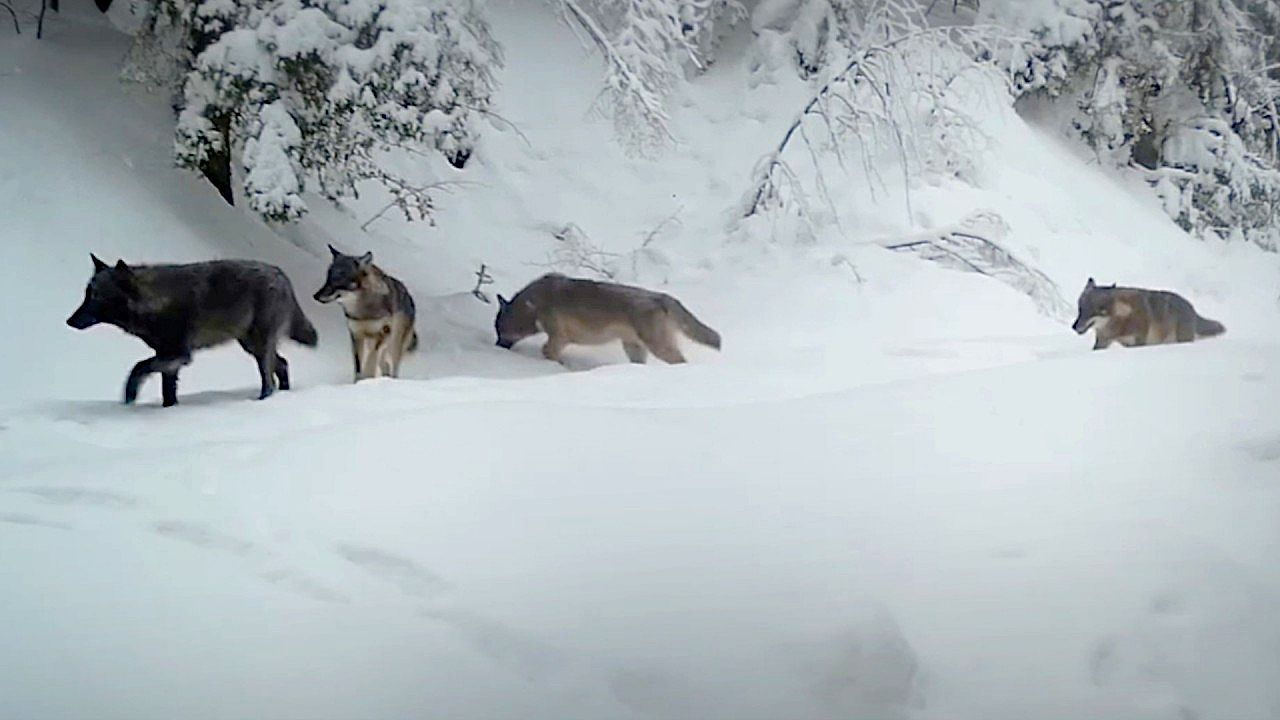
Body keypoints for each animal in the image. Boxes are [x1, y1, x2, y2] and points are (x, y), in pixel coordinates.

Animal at [66, 255, 318, 407]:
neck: (154, 302)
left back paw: (264, 399)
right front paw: (169, 409)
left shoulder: (178, 355)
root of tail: (282, 275)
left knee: (269, 377)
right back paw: (285, 393)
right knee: (282, 364)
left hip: (258, 345)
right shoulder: (168, 359)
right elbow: (167, 390)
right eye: (87, 294)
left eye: (97, 297)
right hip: (250, 345)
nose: (69, 321)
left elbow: (138, 367)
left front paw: (130, 395)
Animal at [313, 245, 418, 380]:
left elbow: (371, 359)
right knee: (384, 364)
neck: (362, 310)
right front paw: (359, 381)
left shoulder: (383, 333)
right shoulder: (356, 335)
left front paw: (367, 378)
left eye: (338, 280)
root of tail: (409, 296)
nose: (315, 296)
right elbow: (359, 365)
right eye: (328, 279)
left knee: (392, 366)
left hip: (394, 346)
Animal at [494, 273, 721, 365]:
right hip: (633, 348)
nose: (496, 347)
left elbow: (547, 352)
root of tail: (663, 297)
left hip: (659, 347)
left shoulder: (559, 337)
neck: (532, 304)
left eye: (499, 331)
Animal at [1072, 277, 1225, 350]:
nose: (1074, 327)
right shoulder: (1103, 341)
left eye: (1092, 311)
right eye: (1081, 310)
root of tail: (1191, 307)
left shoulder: (1139, 342)